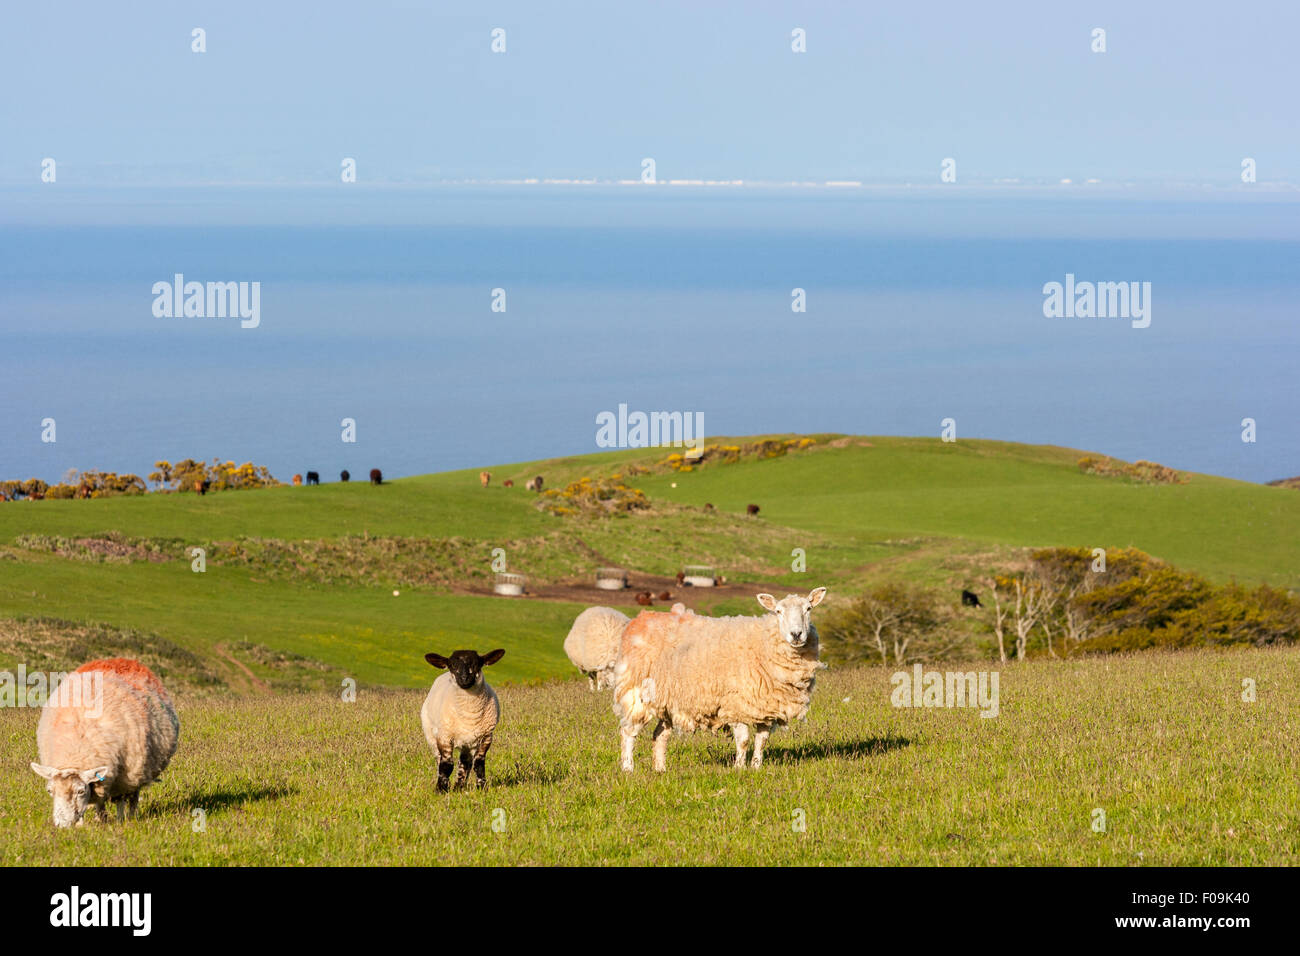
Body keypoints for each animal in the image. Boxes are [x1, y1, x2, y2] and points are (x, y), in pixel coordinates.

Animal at [30, 658, 179, 827]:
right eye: (50, 791)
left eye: (80, 791)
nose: (61, 825)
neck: (77, 748)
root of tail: (124, 660)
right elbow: (98, 803)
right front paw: (92, 822)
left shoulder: (123, 778)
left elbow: (120, 802)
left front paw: (119, 822)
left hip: (139, 771)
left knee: (133, 798)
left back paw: (131, 817)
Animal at [421, 649, 505, 791]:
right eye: (452, 665)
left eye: (476, 664)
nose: (464, 679)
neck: (469, 713)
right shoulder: (445, 737)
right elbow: (446, 765)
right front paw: (441, 789)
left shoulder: (487, 736)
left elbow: (479, 763)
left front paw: (481, 787)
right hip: (431, 736)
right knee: (439, 760)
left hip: (468, 741)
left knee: (465, 763)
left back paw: (459, 786)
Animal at [612, 587, 827, 773]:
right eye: (778, 611)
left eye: (808, 609)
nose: (796, 634)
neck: (764, 642)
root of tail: (640, 619)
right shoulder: (736, 704)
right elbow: (744, 740)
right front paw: (739, 768)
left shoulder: (766, 707)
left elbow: (762, 741)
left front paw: (756, 767)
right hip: (636, 692)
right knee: (628, 732)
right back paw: (628, 768)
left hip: (668, 701)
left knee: (660, 735)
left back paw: (660, 769)